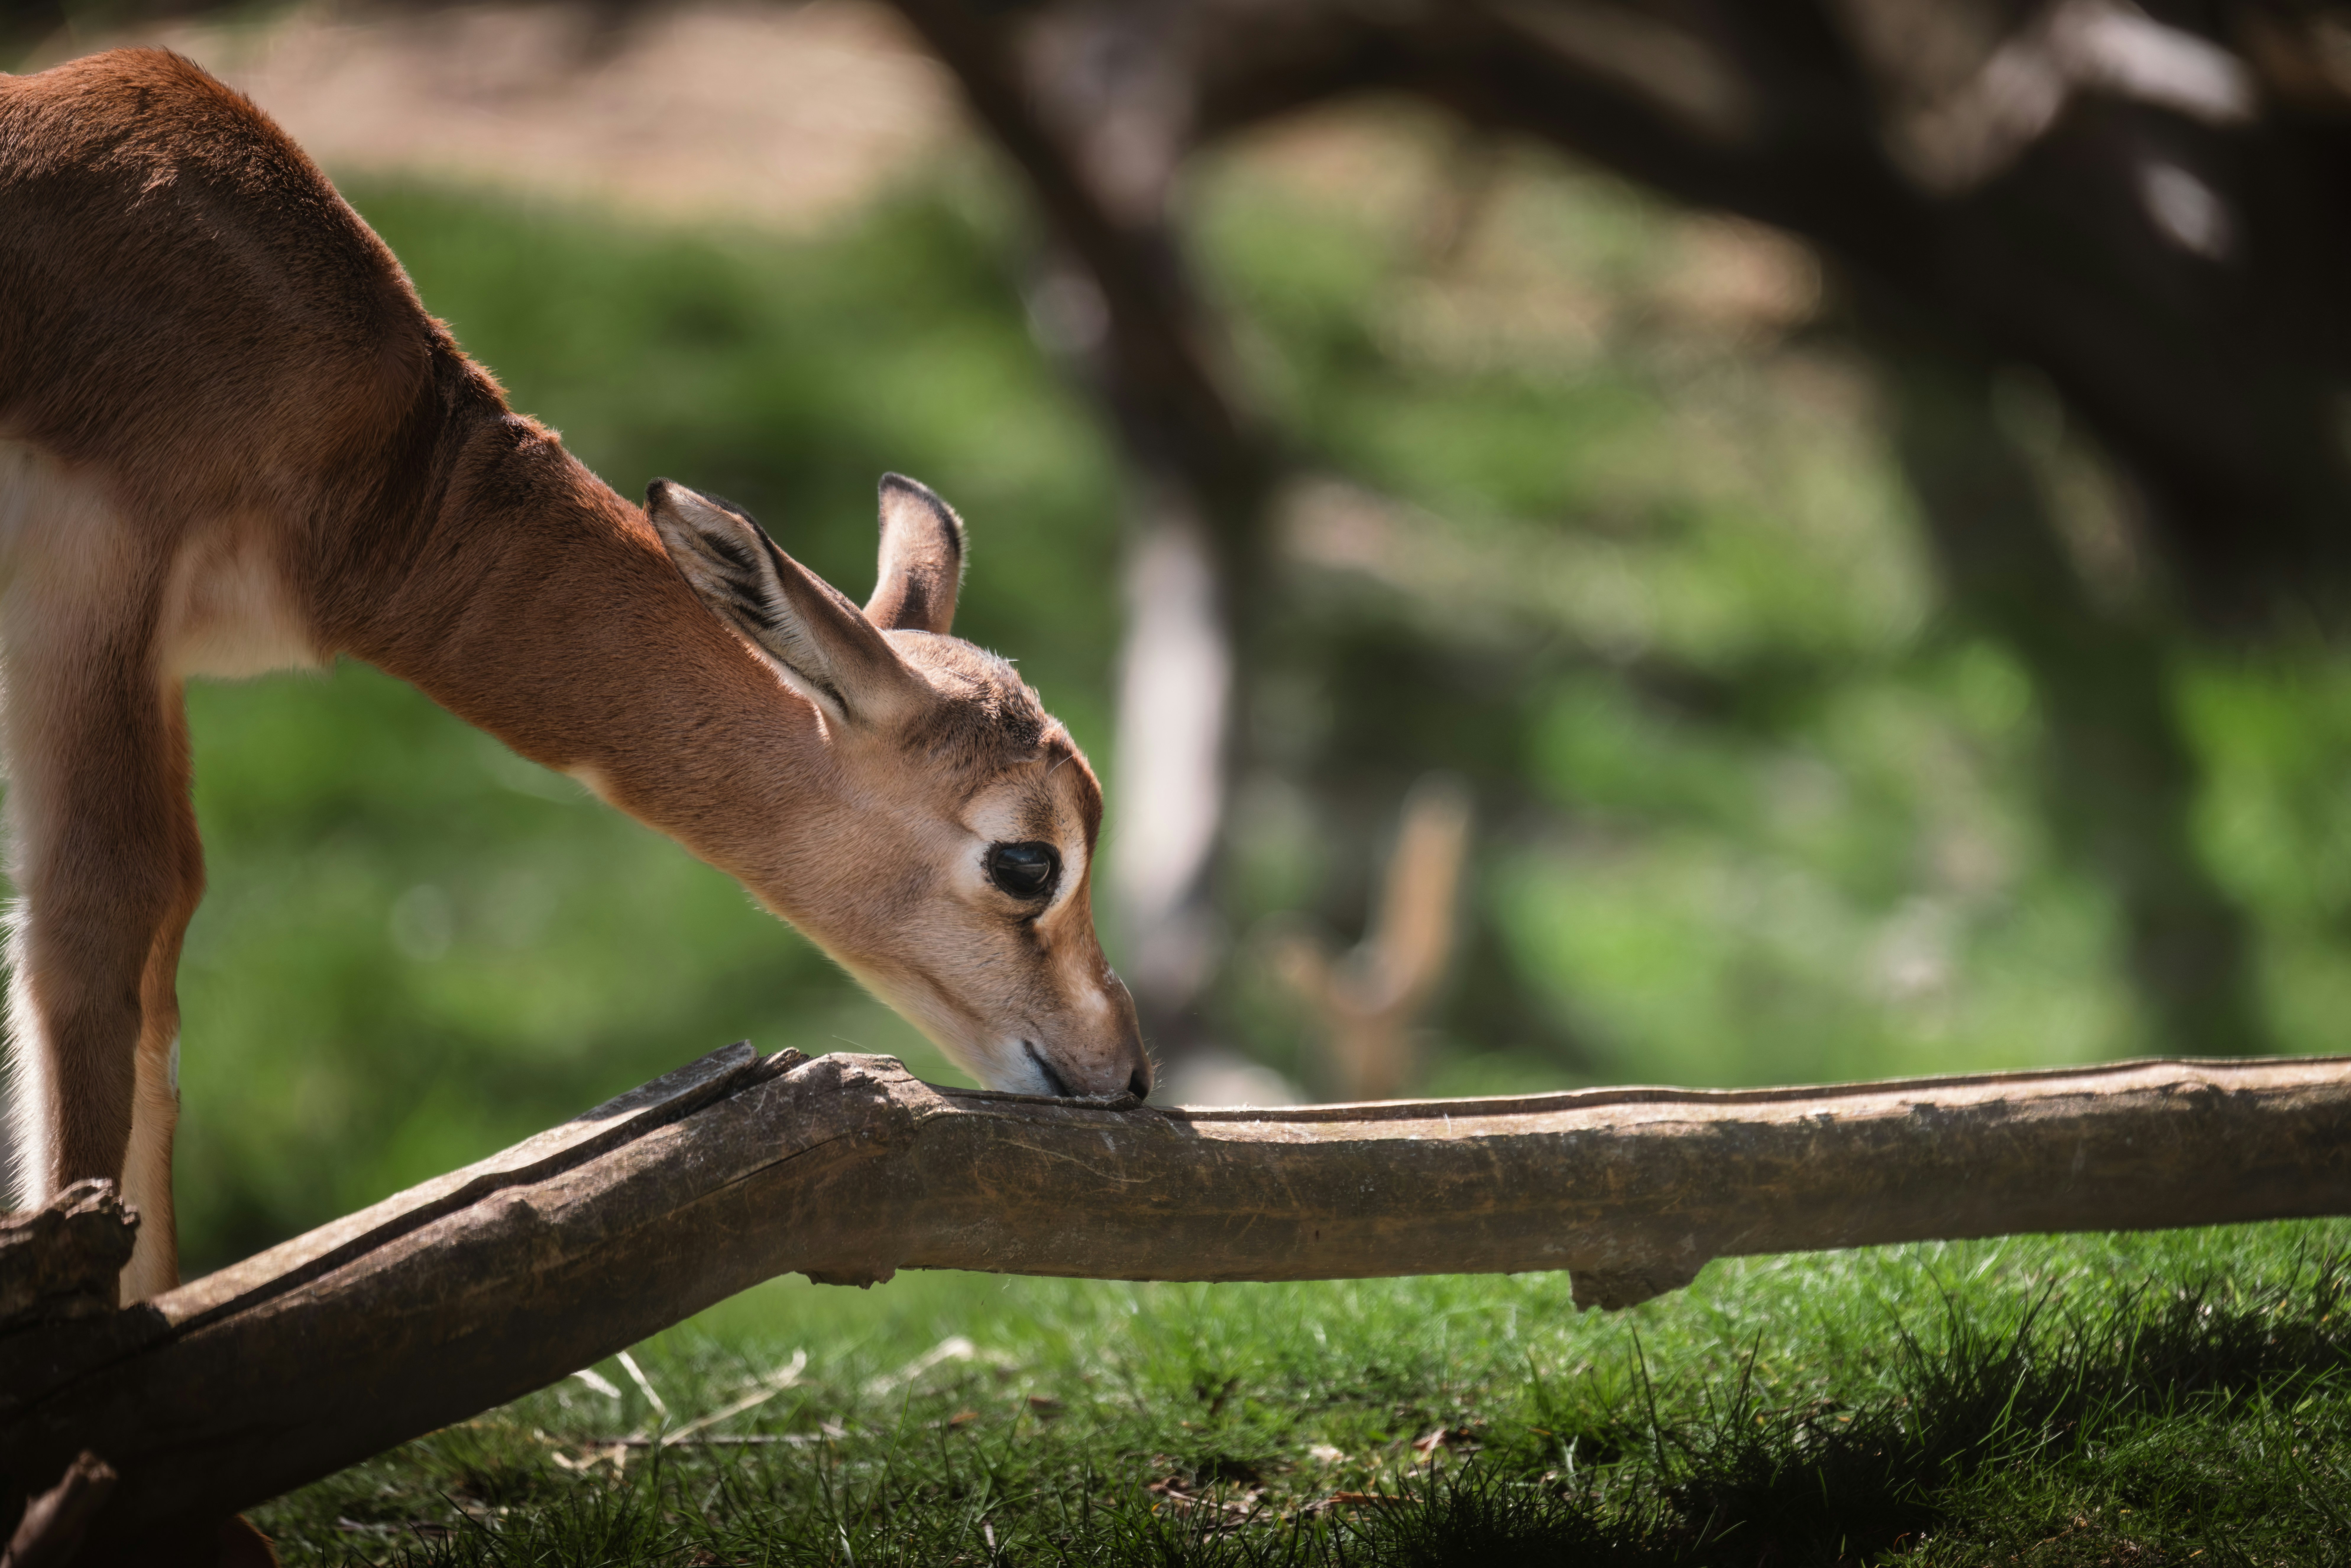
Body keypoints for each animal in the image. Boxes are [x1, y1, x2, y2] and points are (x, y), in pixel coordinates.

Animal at [0, 47, 1152, 1313]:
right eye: (1026, 858)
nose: (1127, 1073)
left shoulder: (150, 658)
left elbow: (164, 945)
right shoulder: (87, 580)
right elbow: (97, 917)